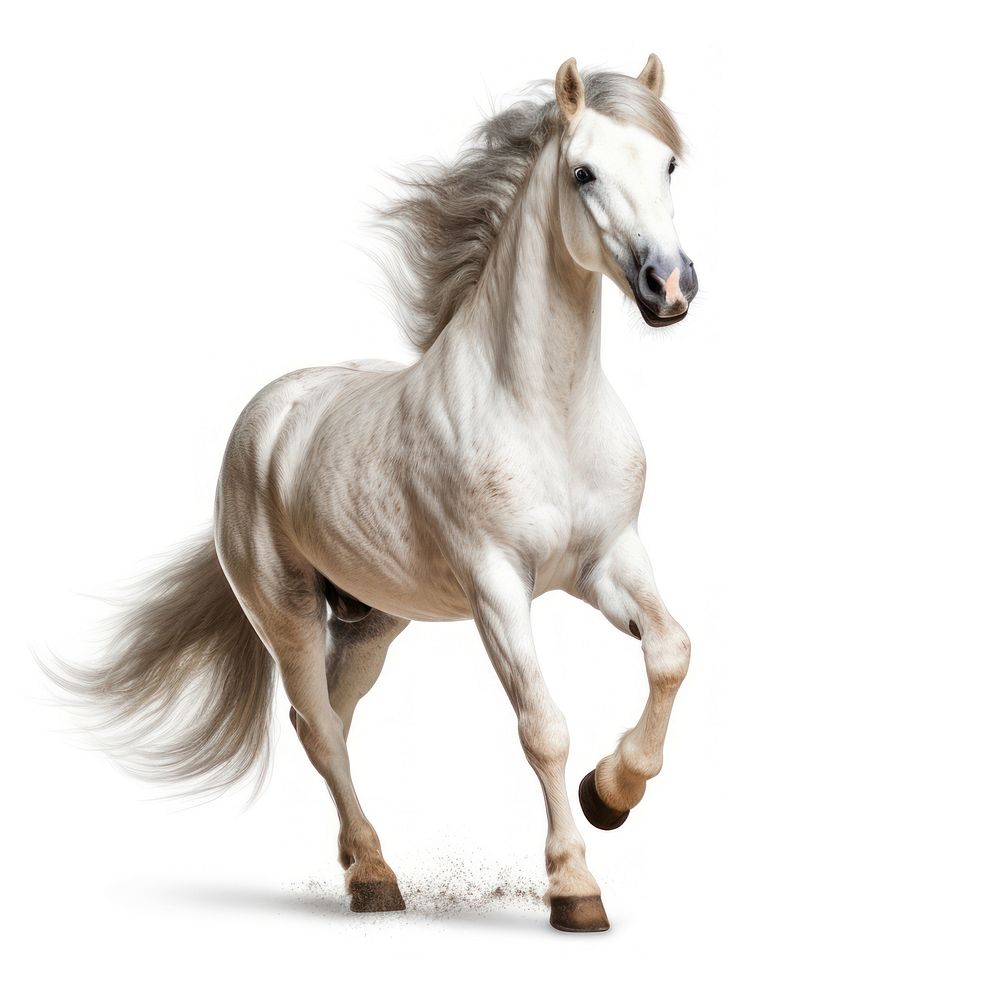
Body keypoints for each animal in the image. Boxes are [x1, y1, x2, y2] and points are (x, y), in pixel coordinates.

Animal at [46, 55, 699, 933]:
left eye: (668, 164)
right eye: (583, 172)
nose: (670, 286)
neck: (544, 408)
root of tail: (266, 417)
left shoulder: (609, 561)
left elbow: (670, 653)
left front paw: (612, 793)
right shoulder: (498, 586)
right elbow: (544, 728)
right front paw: (574, 888)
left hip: (372, 622)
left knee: (329, 718)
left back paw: (364, 862)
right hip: (287, 612)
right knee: (318, 727)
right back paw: (375, 881)